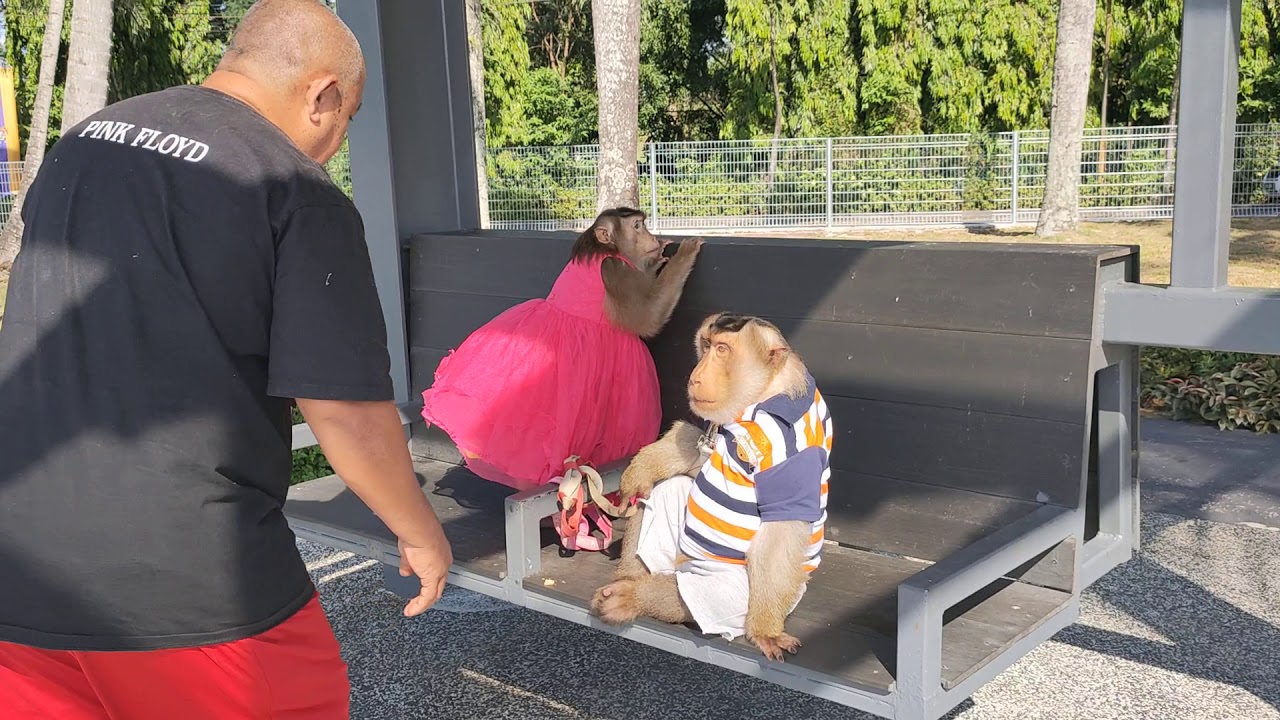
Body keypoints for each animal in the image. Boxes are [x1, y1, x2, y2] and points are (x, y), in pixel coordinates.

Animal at [589, 312, 834, 662]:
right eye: (706, 345)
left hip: (737, 589)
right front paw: (647, 465)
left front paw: (766, 630)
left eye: (722, 350)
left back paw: (631, 596)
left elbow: (780, 532)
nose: (696, 377)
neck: (760, 398)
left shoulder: (794, 454)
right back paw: (629, 576)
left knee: (701, 595)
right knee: (667, 490)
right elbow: (699, 454)